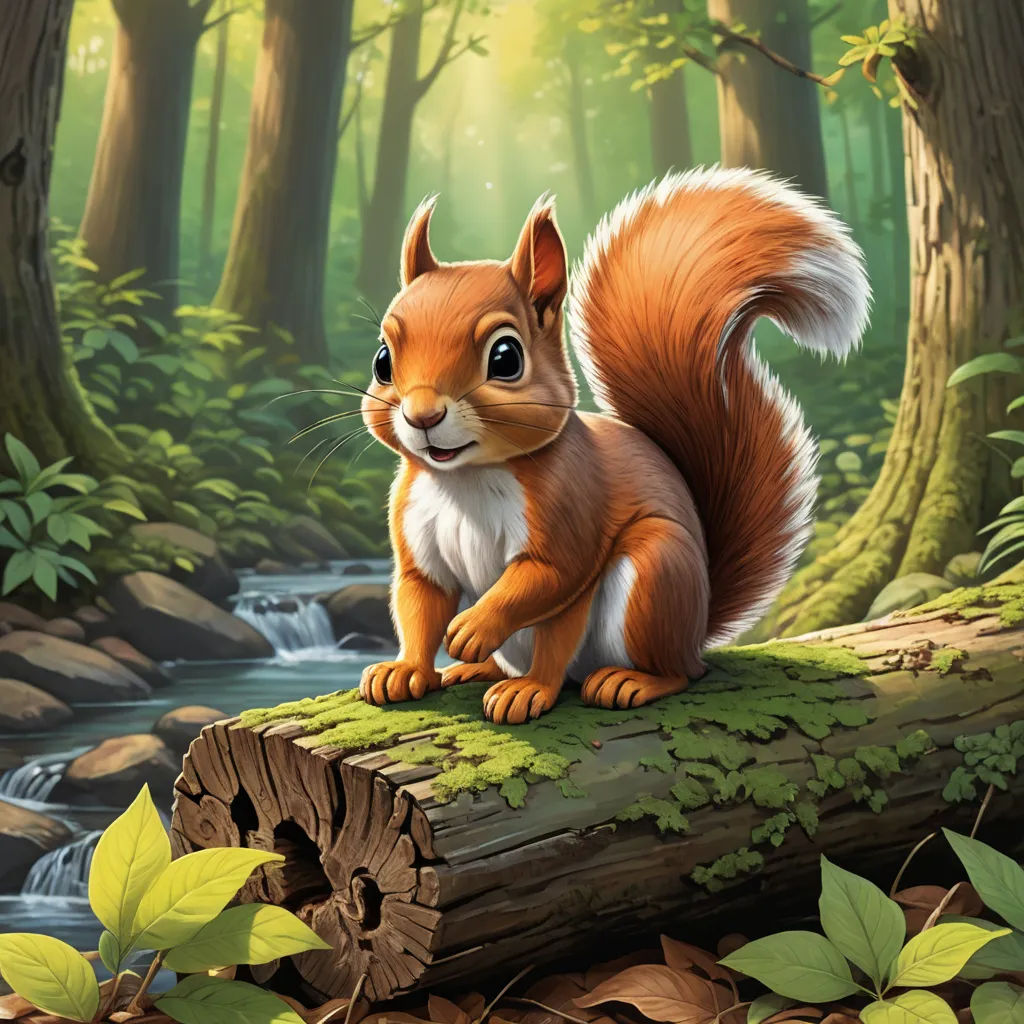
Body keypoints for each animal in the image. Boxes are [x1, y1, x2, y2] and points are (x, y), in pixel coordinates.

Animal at [358, 166, 870, 725]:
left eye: (506, 358)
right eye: (382, 360)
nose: (422, 415)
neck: (466, 477)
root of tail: (696, 634)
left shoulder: (572, 516)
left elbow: (548, 584)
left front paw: (492, 648)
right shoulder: (414, 530)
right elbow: (419, 602)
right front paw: (405, 670)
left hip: (655, 573)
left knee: (665, 671)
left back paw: (600, 683)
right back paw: (481, 670)